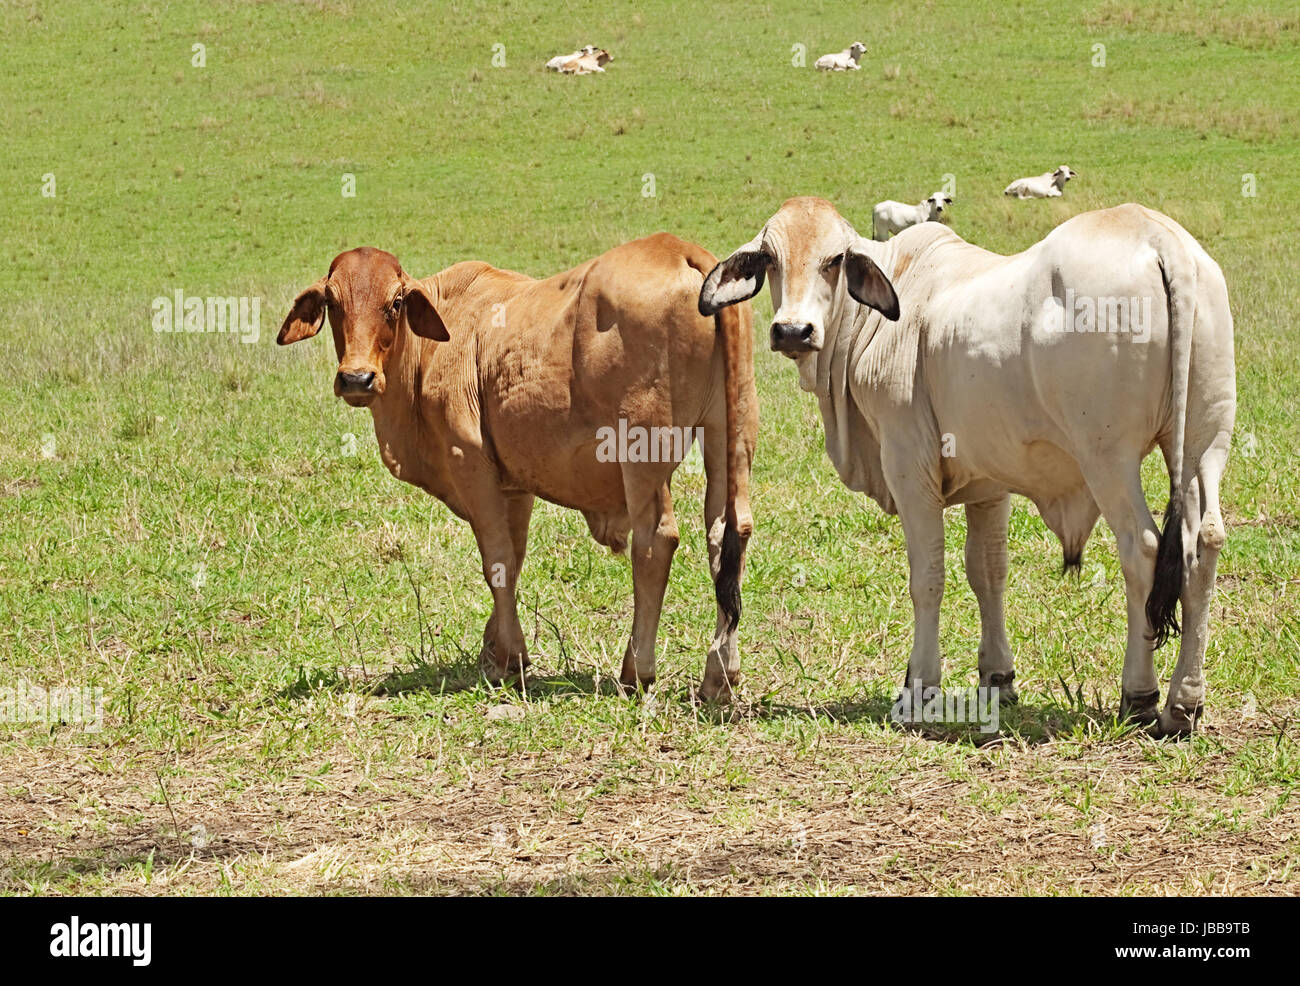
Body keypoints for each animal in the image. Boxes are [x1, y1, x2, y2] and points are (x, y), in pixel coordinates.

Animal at [279, 238, 757, 700]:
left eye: (395, 302)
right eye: (332, 301)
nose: (356, 378)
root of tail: (681, 249)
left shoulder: (471, 465)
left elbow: (498, 561)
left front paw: (506, 659)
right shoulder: (515, 486)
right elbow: (516, 556)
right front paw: (499, 651)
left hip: (642, 454)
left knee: (656, 542)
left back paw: (636, 671)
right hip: (730, 436)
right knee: (728, 535)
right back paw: (719, 677)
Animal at [699, 197, 1234, 736]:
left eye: (834, 260)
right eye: (770, 259)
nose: (793, 331)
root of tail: (1156, 235)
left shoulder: (908, 464)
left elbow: (927, 576)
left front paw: (920, 686)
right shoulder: (989, 484)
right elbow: (988, 571)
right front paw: (998, 677)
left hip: (1109, 458)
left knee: (1143, 549)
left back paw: (1140, 697)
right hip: (1203, 445)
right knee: (1203, 546)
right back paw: (1184, 703)